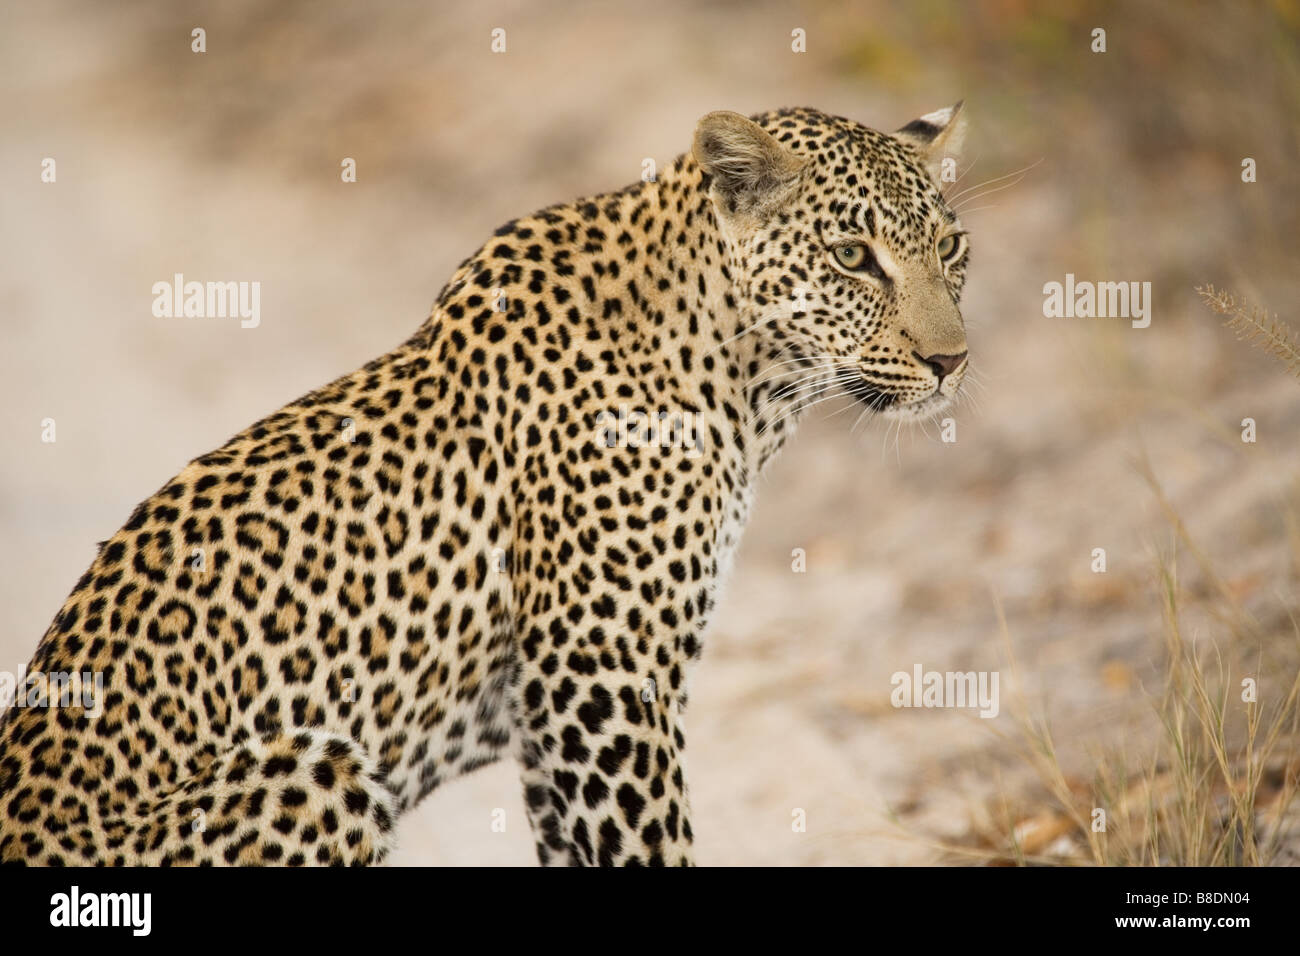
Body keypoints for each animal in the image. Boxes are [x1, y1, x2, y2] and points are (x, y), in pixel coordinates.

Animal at [0, 103, 971, 866]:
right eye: (852, 255)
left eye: (951, 248)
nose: (952, 361)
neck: (748, 385)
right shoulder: (601, 679)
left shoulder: (554, 727)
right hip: (321, 767)